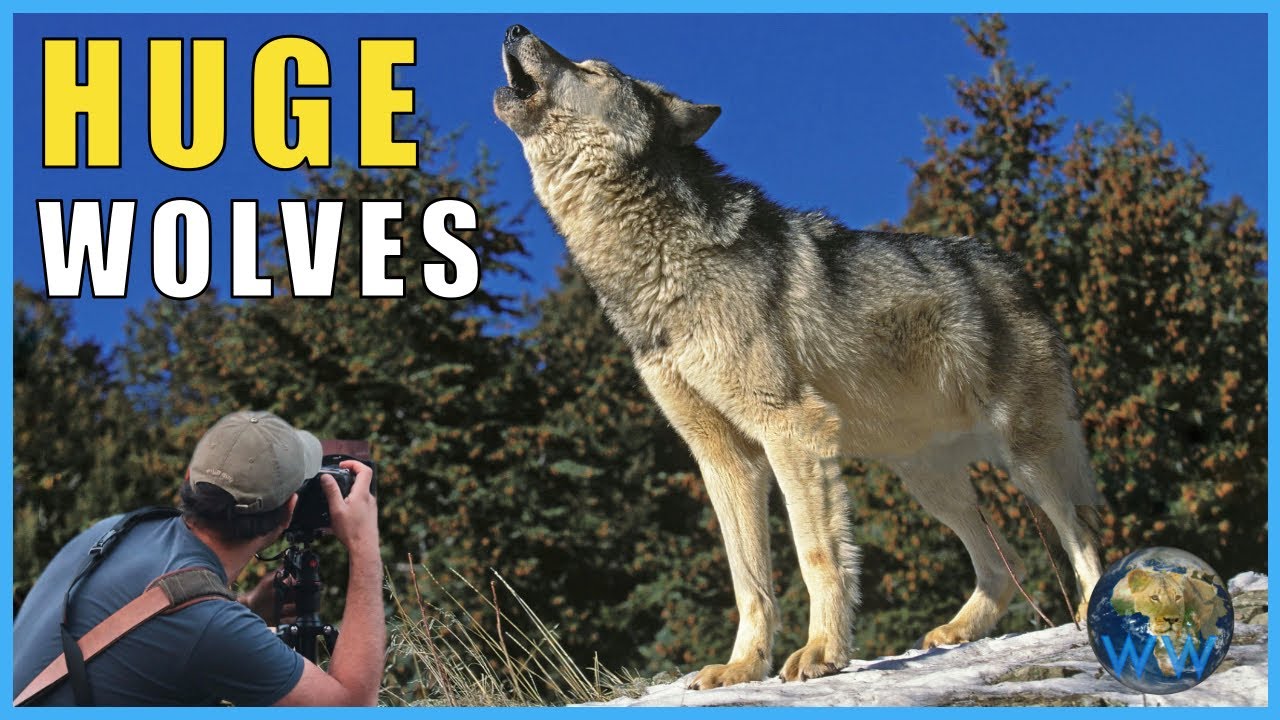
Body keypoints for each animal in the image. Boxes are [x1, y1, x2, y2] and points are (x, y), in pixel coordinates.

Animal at [494, 24, 1105, 689]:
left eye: (594, 70)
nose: (515, 28)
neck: (654, 267)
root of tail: (1015, 269)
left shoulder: (792, 431)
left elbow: (818, 556)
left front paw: (822, 654)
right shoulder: (724, 458)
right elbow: (748, 579)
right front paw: (742, 667)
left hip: (1026, 459)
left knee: (1082, 531)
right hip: (927, 481)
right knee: (1003, 557)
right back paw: (960, 630)